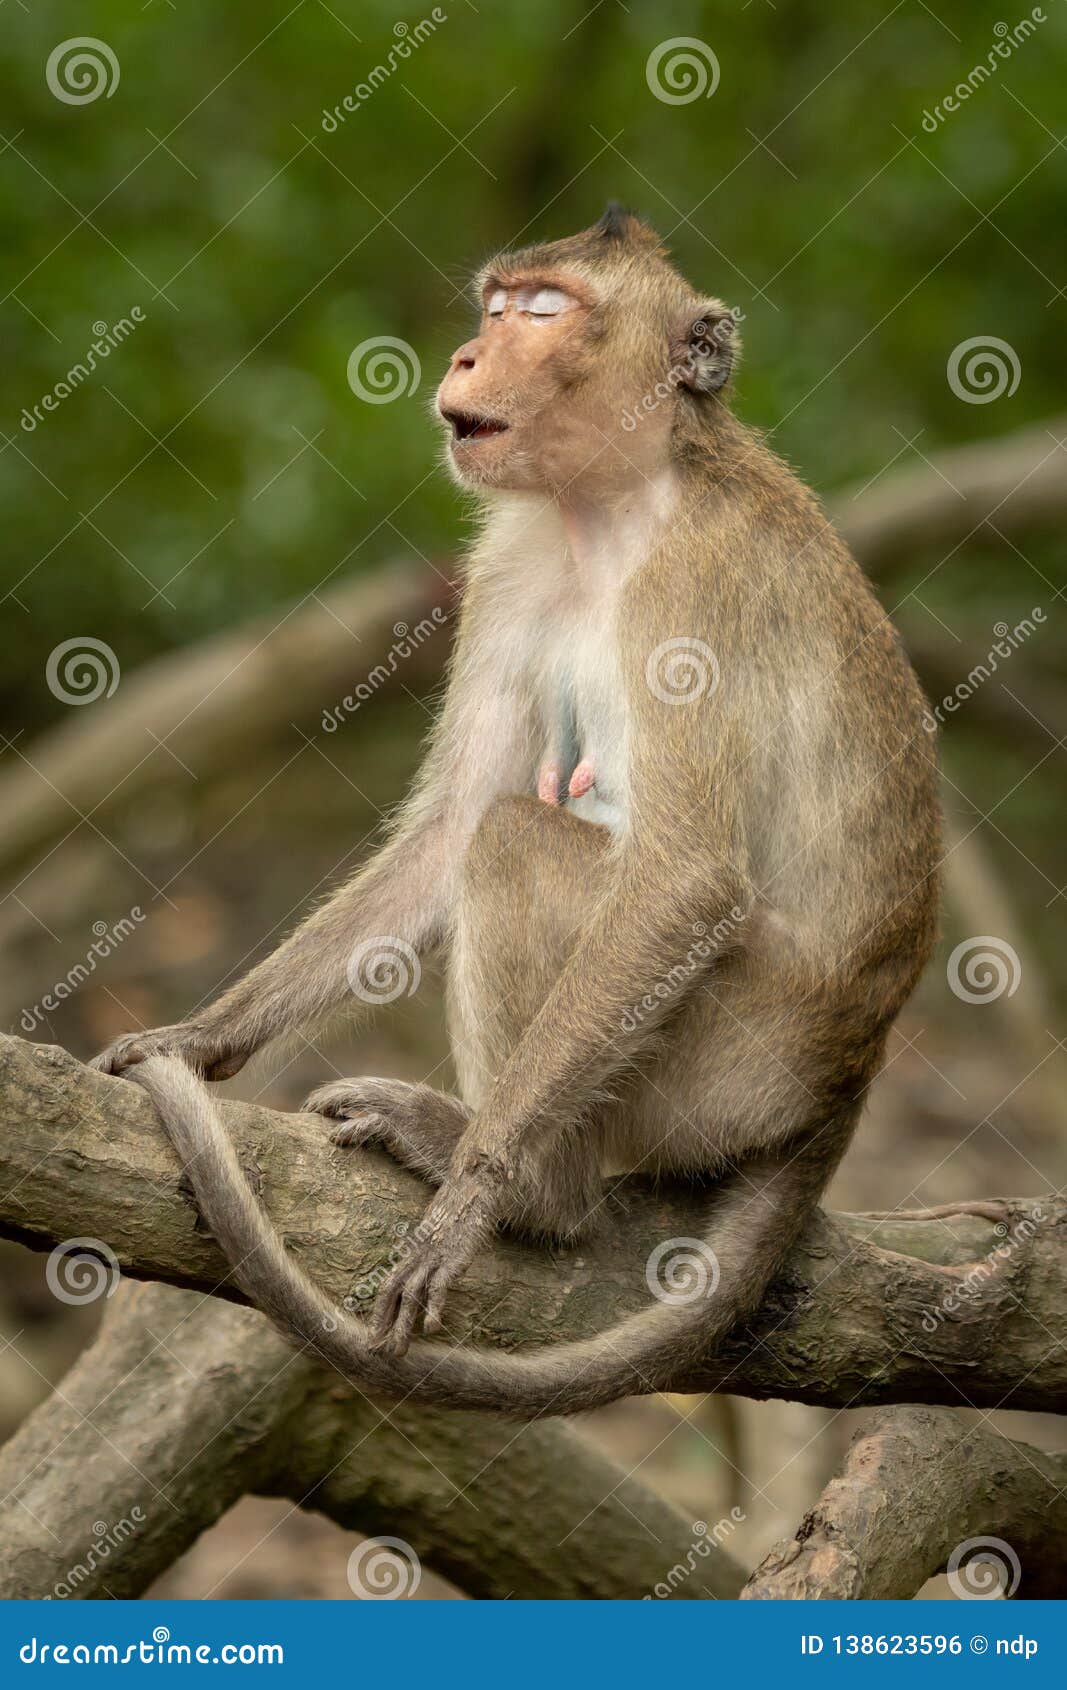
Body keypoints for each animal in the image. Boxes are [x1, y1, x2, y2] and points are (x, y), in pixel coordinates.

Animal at [93, 204, 941, 1416]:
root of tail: (845, 1081)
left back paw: (536, 1191)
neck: (619, 506)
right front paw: (200, 1035)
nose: (462, 355)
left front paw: (475, 1195)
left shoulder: (697, 586)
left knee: (521, 846)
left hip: (726, 1068)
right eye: (493, 306)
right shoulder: (509, 556)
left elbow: (679, 877)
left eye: (542, 313)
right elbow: (451, 821)